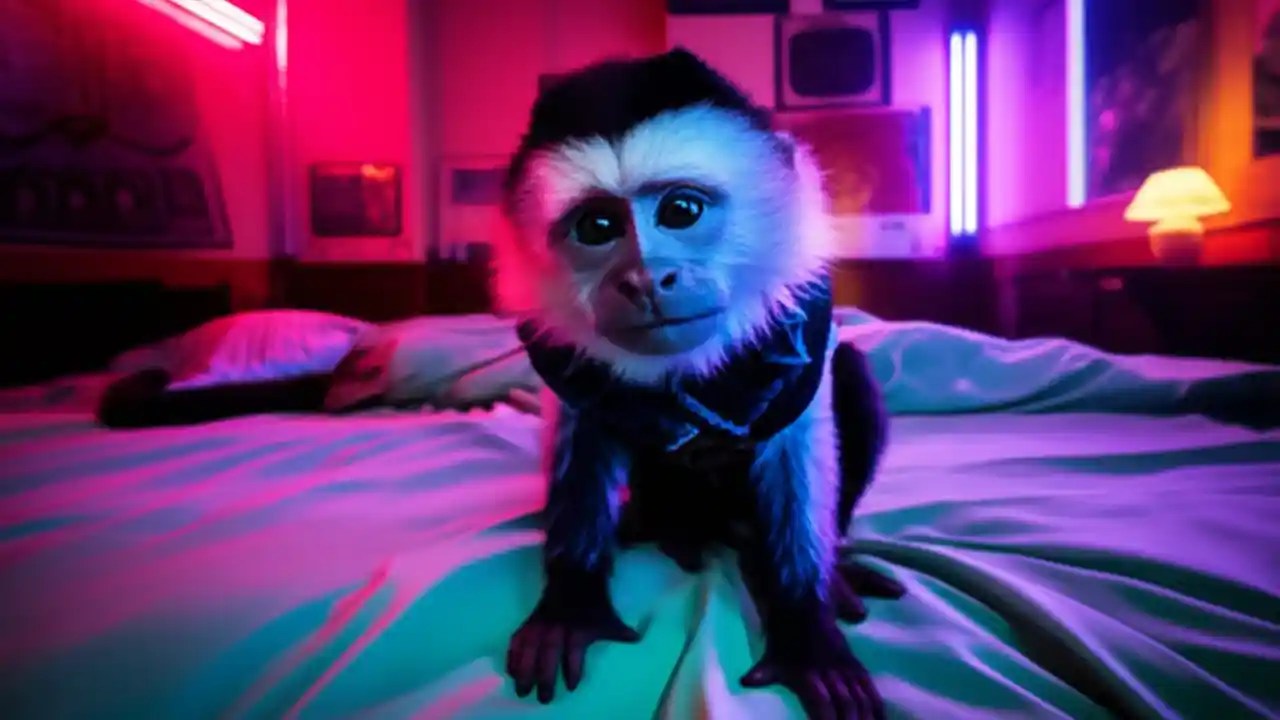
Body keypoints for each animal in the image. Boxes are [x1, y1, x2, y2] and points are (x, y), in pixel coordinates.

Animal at [491, 48, 903, 720]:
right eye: (597, 226)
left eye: (680, 212)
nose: (644, 279)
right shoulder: (553, 345)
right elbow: (584, 432)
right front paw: (571, 600)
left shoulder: (801, 317)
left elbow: (797, 431)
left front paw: (805, 629)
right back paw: (665, 530)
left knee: (853, 375)